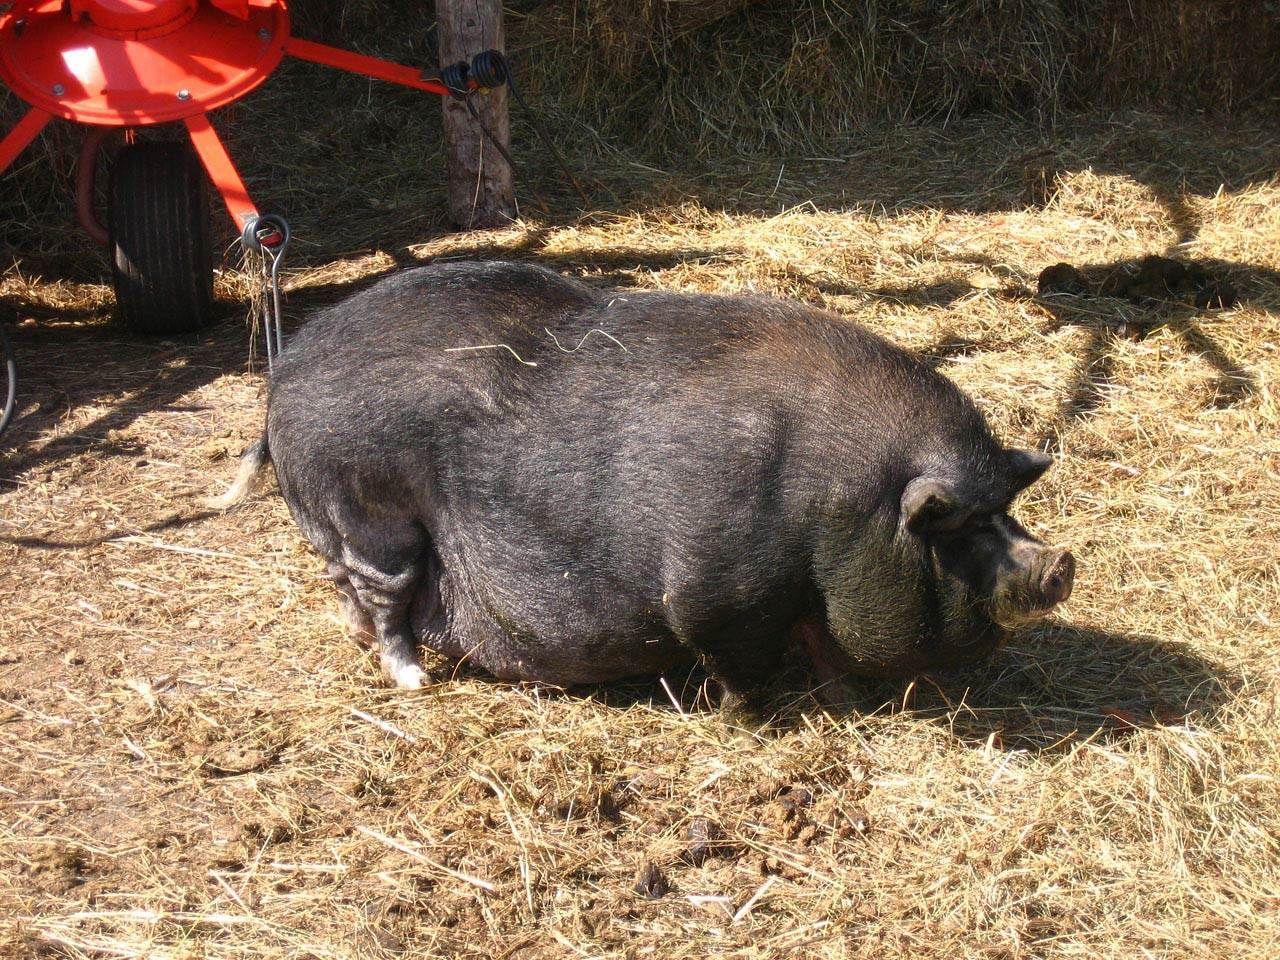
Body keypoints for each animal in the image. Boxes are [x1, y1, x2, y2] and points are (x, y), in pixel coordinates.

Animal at [215, 260, 1075, 708]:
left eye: (1009, 510)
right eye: (961, 527)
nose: (1061, 561)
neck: (839, 510)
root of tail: (283, 376)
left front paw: (839, 699)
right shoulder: (716, 596)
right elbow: (741, 668)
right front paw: (749, 716)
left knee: (346, 590)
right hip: (370, 512)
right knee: (385, 595)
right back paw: (414, 678)